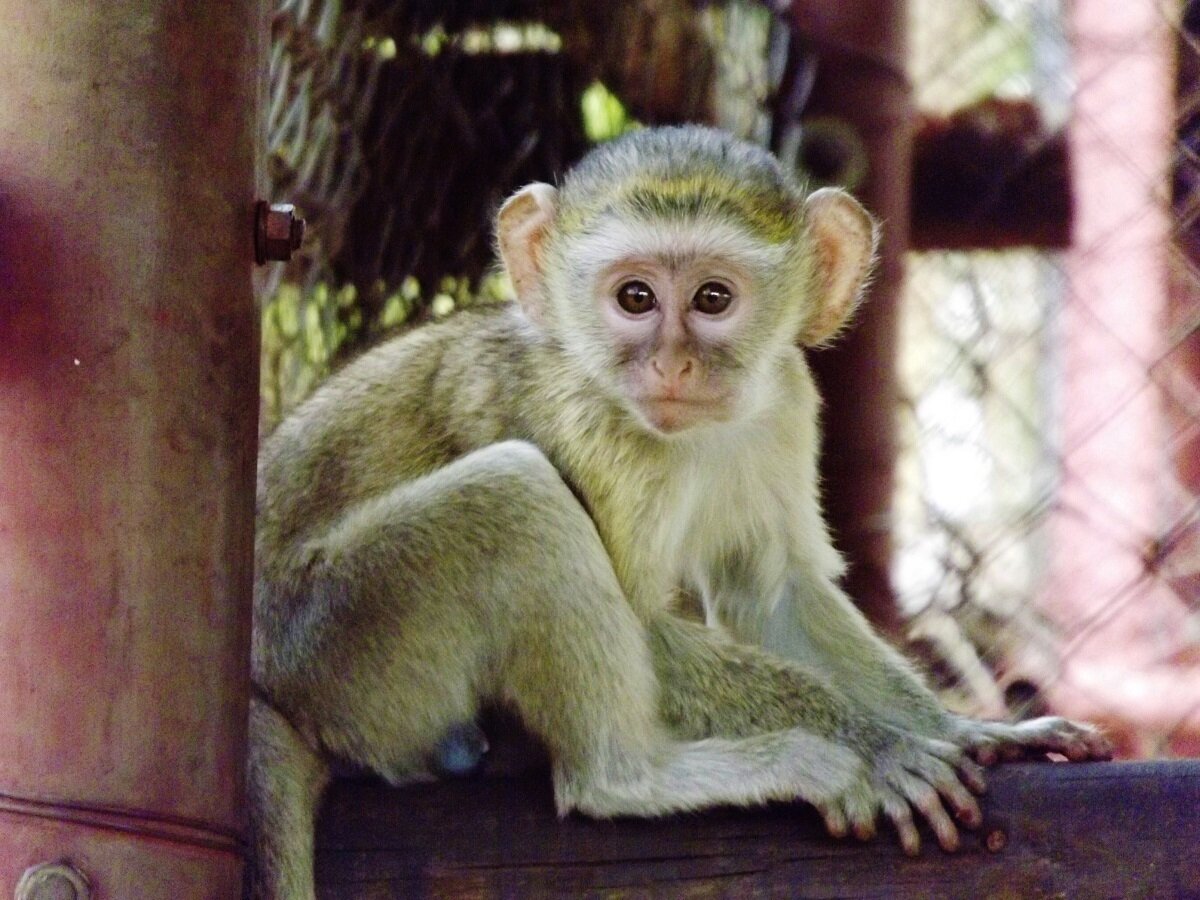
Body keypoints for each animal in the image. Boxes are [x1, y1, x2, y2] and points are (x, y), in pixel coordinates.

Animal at [248, 126, 1111, 900]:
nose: (670, 364)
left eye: (712, 299)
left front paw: (967, 730)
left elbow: (772, 592)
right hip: (336, 639)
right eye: (635, 298)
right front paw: (873, 745)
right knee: (517, 493)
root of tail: (265, 683)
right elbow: (641, 621)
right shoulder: (593, 431)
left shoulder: (785, 400)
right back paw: (632, 778)